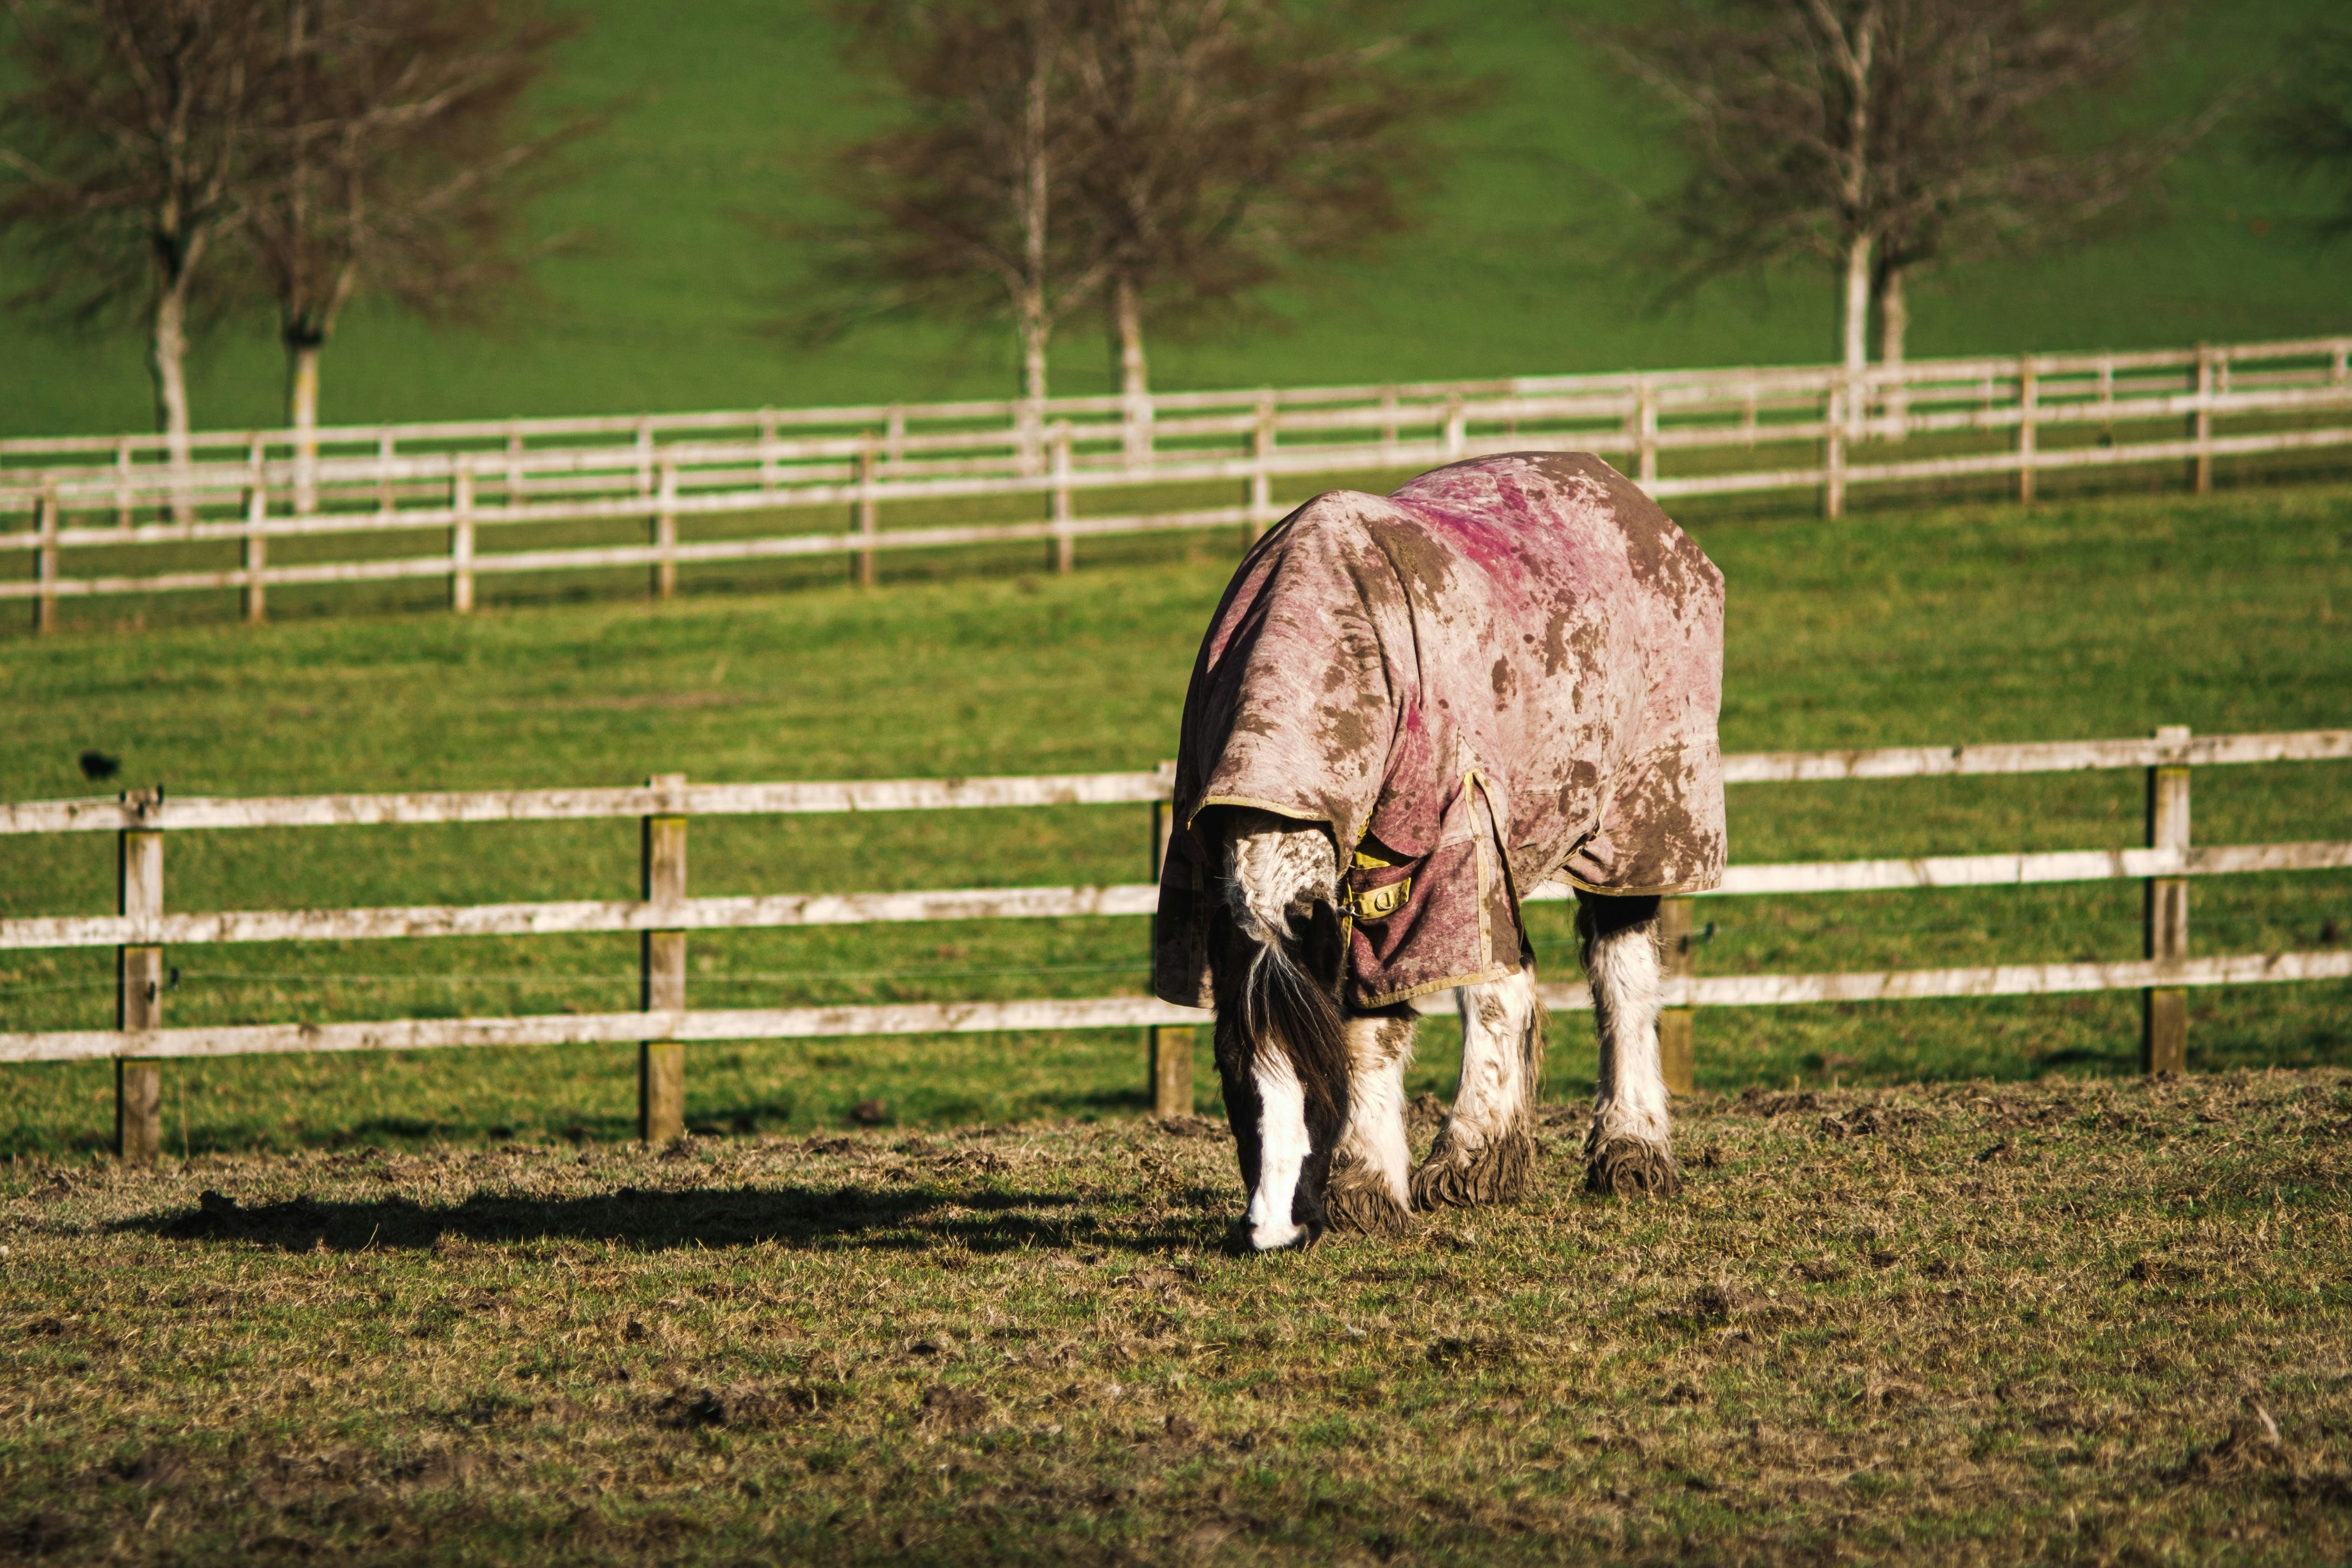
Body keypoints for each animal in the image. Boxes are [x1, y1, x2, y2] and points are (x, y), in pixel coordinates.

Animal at [1152, 452, 1727, 1250]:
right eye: (1235, 1080)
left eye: (1322, 1084)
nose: (1275, 1233)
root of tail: (1615, 484)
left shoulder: (1426, 856)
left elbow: (1386, 1025)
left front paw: (1368, 1186)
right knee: (1510, 978)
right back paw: (1485, 1158)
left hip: (1634, 824)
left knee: (1619, 979)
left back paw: (1626, 1146)